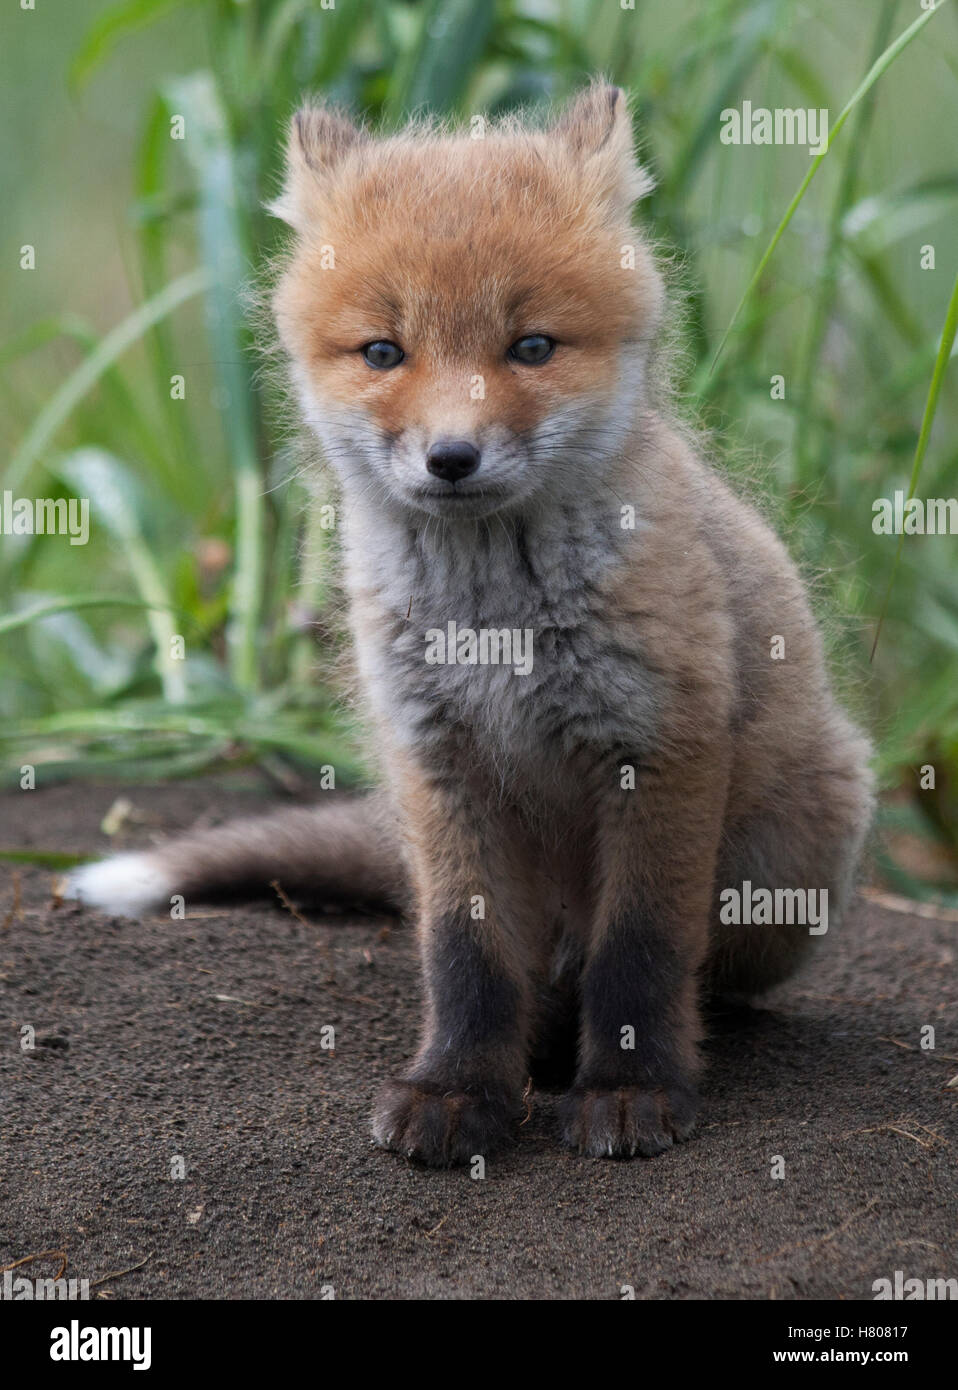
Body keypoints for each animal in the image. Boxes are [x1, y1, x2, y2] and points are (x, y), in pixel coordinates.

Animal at [66, 83, 874, 1166]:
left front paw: (629, 1088)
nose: (451, 458)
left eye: (530, 346)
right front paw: (458, 1088)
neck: (494, 631)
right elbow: (465, 957)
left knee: (688, 972)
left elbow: (641, 951)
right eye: (383, 352)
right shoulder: (437, 764)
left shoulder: (661, 748)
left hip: (789, 867)